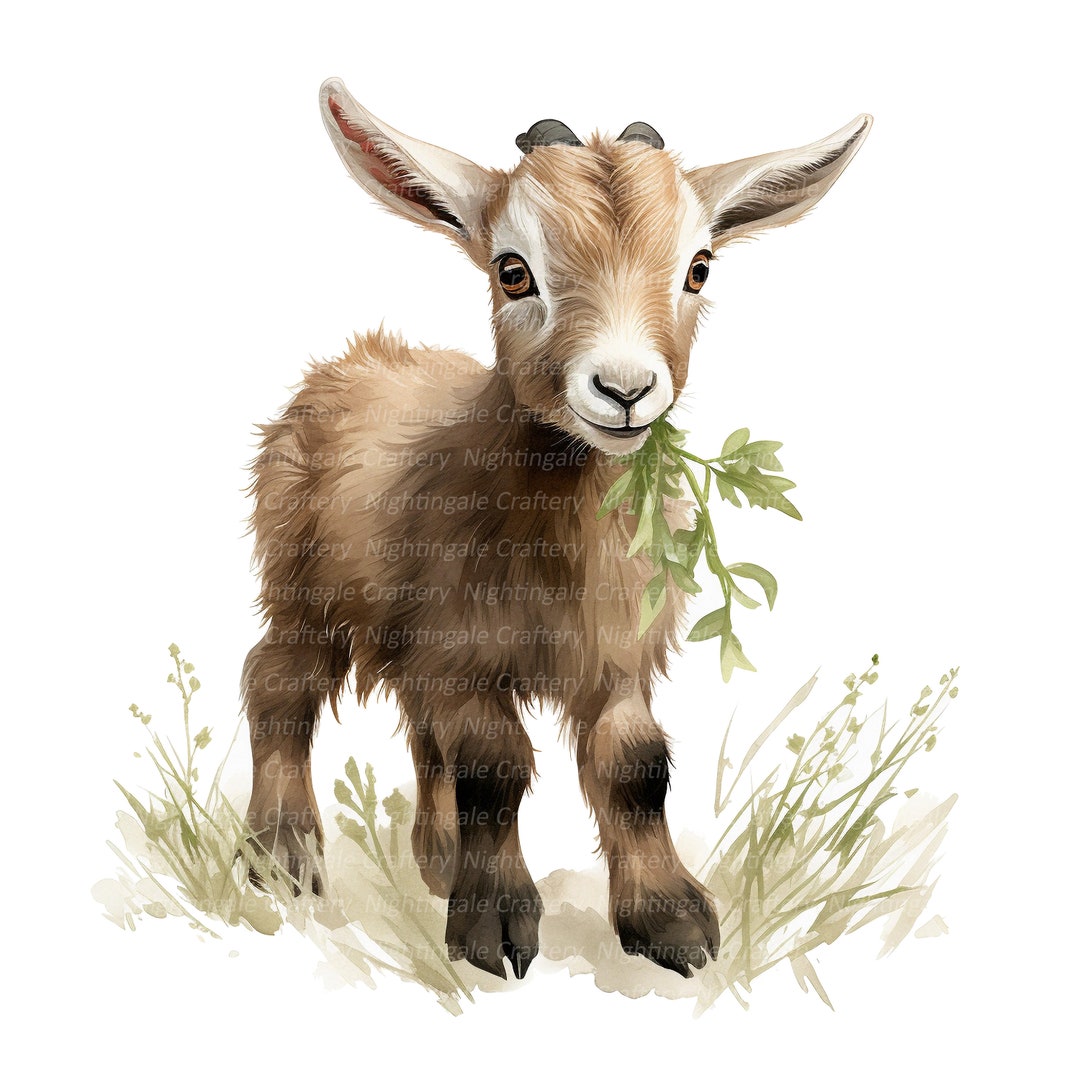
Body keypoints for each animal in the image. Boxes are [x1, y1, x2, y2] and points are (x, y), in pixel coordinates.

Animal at [243, 78, 871, 980]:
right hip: (304, 586)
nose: (625, 389)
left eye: (698, 267)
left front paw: (670, 921)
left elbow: (635, 768)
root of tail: (355, 358)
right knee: (279, 684)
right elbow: (493, 767)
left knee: (419, 729)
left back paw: (436, 857)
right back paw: (282, 855)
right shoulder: (465, 652)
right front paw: (495, 929)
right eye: (513, 272)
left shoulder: (614, 654)